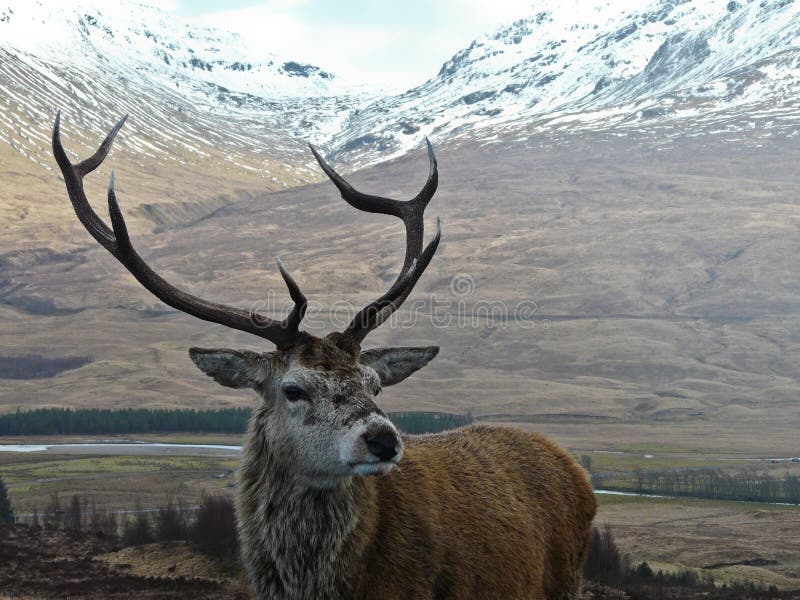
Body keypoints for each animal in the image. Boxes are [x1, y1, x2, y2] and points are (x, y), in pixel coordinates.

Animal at [52, 113, 596, 600]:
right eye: (293, 389)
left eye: (374, 384)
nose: (383, 440)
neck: (330, 586)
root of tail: (573, 468)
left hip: (567, 582)